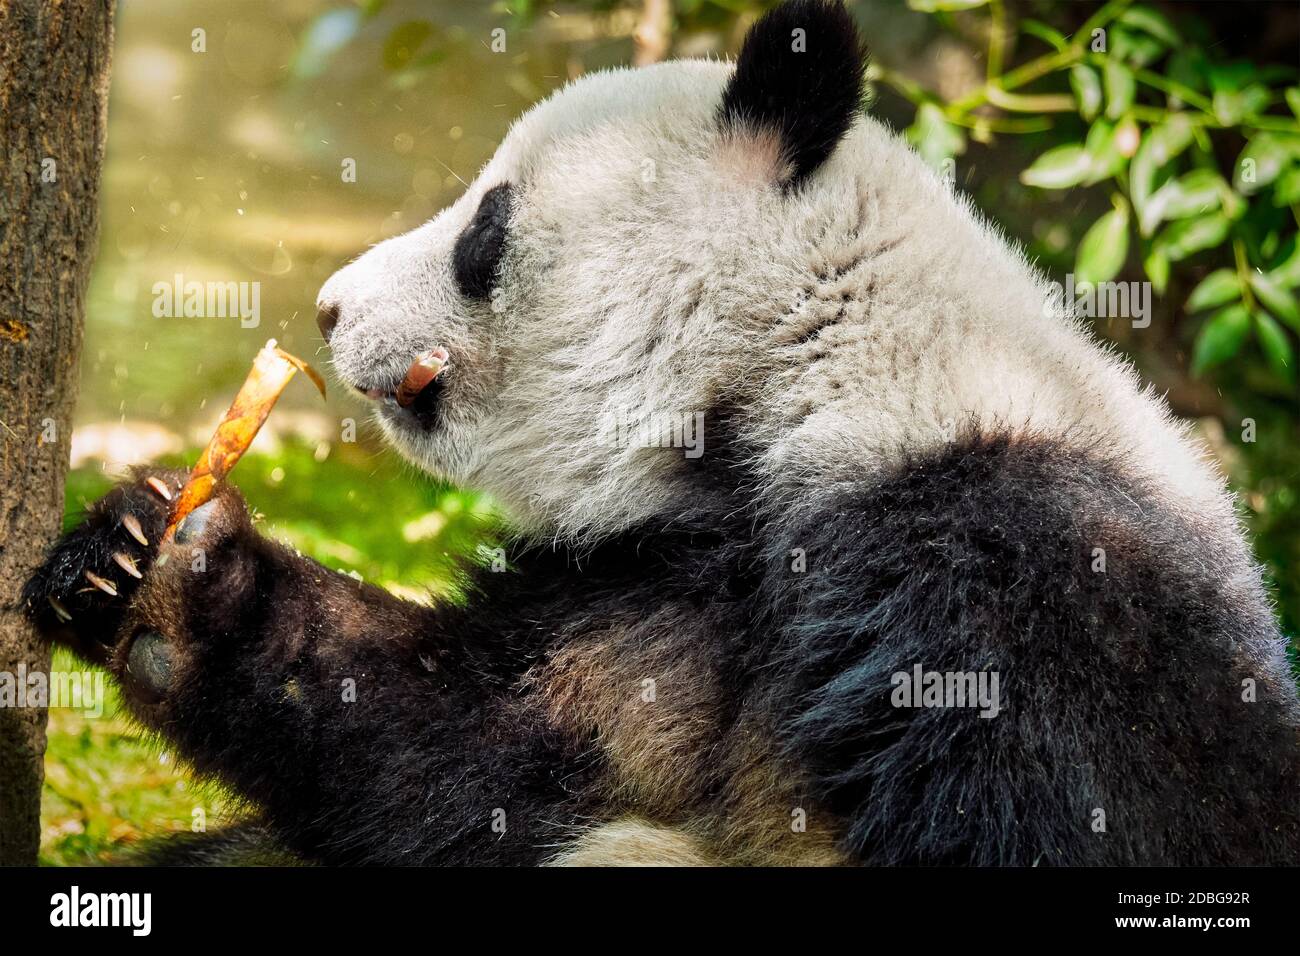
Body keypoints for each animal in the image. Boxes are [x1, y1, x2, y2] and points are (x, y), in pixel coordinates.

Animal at [25, 0, 1300, 866]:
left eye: (483, 227)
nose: (333, 307)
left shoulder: (1028, 581)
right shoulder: (660, 583)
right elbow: (476, 736)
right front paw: (154, 564)